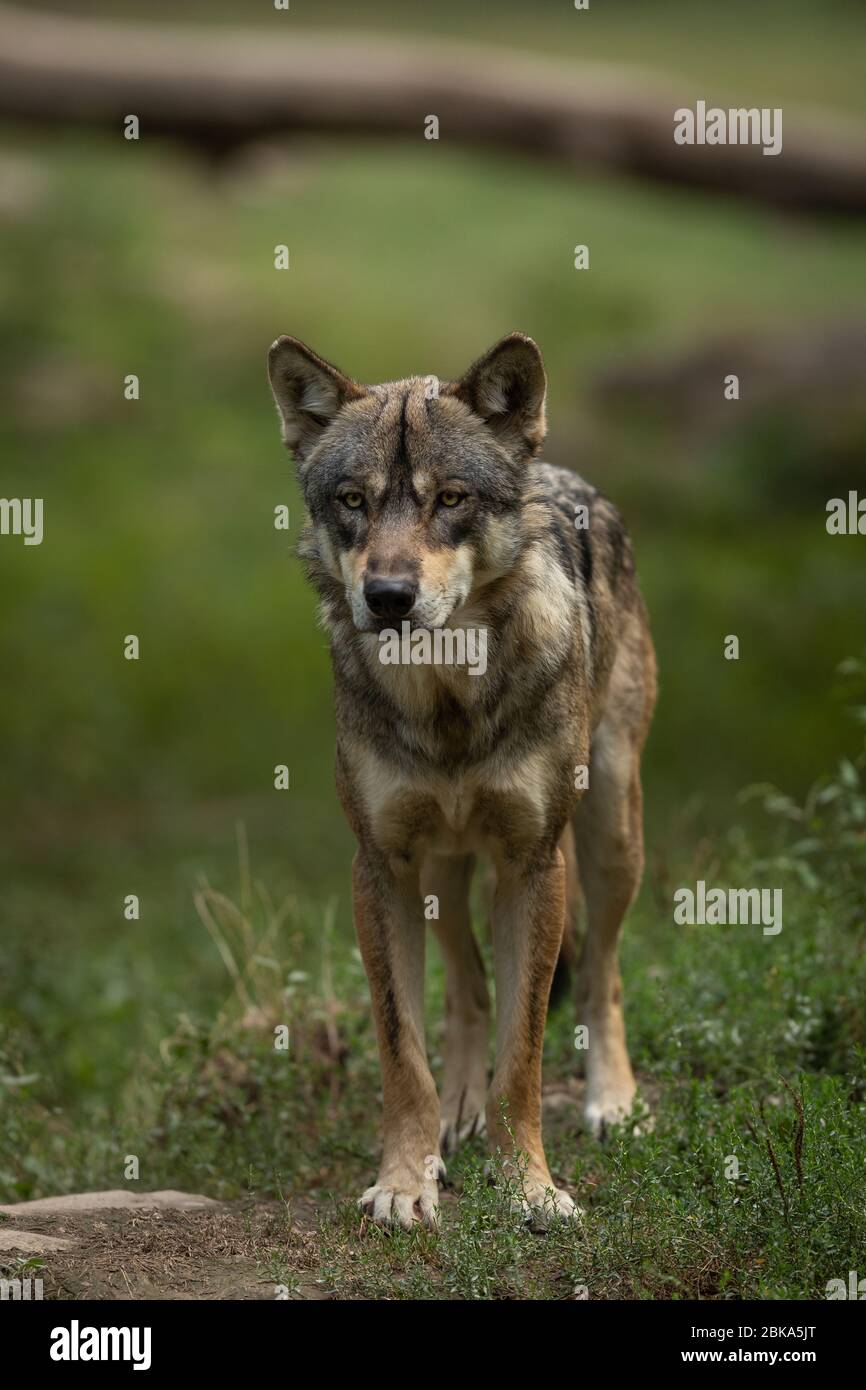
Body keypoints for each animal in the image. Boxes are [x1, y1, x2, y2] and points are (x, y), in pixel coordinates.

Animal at [268, 332, 656, 1228]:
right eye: (352, 500)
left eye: (450, 499)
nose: (387, 595)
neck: (447, 699)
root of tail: (562, 473)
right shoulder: (380, 869)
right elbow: (403, 1047)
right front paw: (406, 1180)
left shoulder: (534, 867)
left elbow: (526, 1051)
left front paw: (531, 1188)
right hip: (440, 876)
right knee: (467, 993)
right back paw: (457, 1114)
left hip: (612, 838)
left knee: (602, 975)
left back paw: (614, 1102)